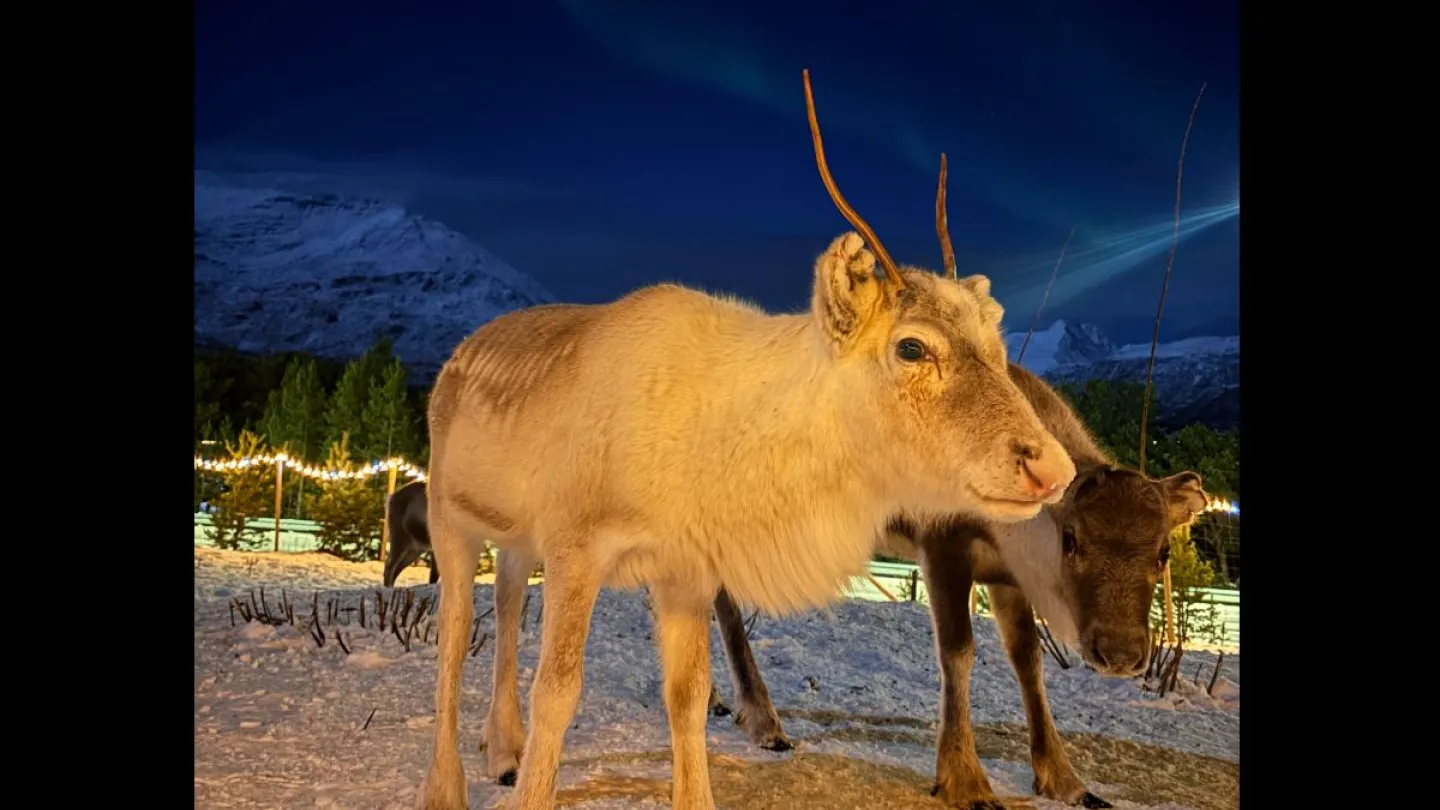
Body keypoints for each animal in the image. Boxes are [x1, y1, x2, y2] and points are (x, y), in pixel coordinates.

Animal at [416, 69, 1079, 810]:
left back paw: (503, 746)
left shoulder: (685, 570)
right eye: (911, 346)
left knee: (504, 608)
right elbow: (558, 690)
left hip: (515, 539)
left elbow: (689, 695)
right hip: (450, 517)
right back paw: (446, 785)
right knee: (453, 636)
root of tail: (456, 359)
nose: (1051, 468)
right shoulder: (576, 547)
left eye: (997, 342)